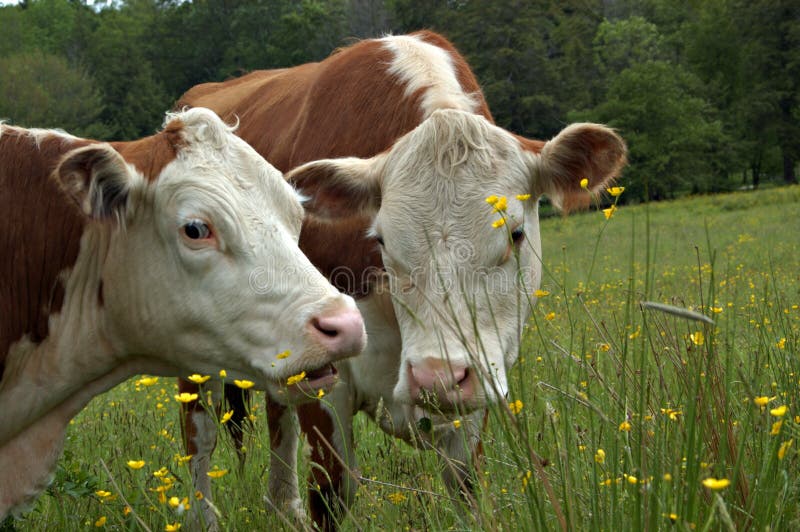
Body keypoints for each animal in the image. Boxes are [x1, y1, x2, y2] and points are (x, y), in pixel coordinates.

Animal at [177, 30, 627, 530]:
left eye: (515, 233)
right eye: (382, 240)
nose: (438, 378)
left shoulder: (480, 377)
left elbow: (467, 487)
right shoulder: (328, 376)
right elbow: (331, 491)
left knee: (279, 418)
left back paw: (282, 505)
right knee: (201, 440)